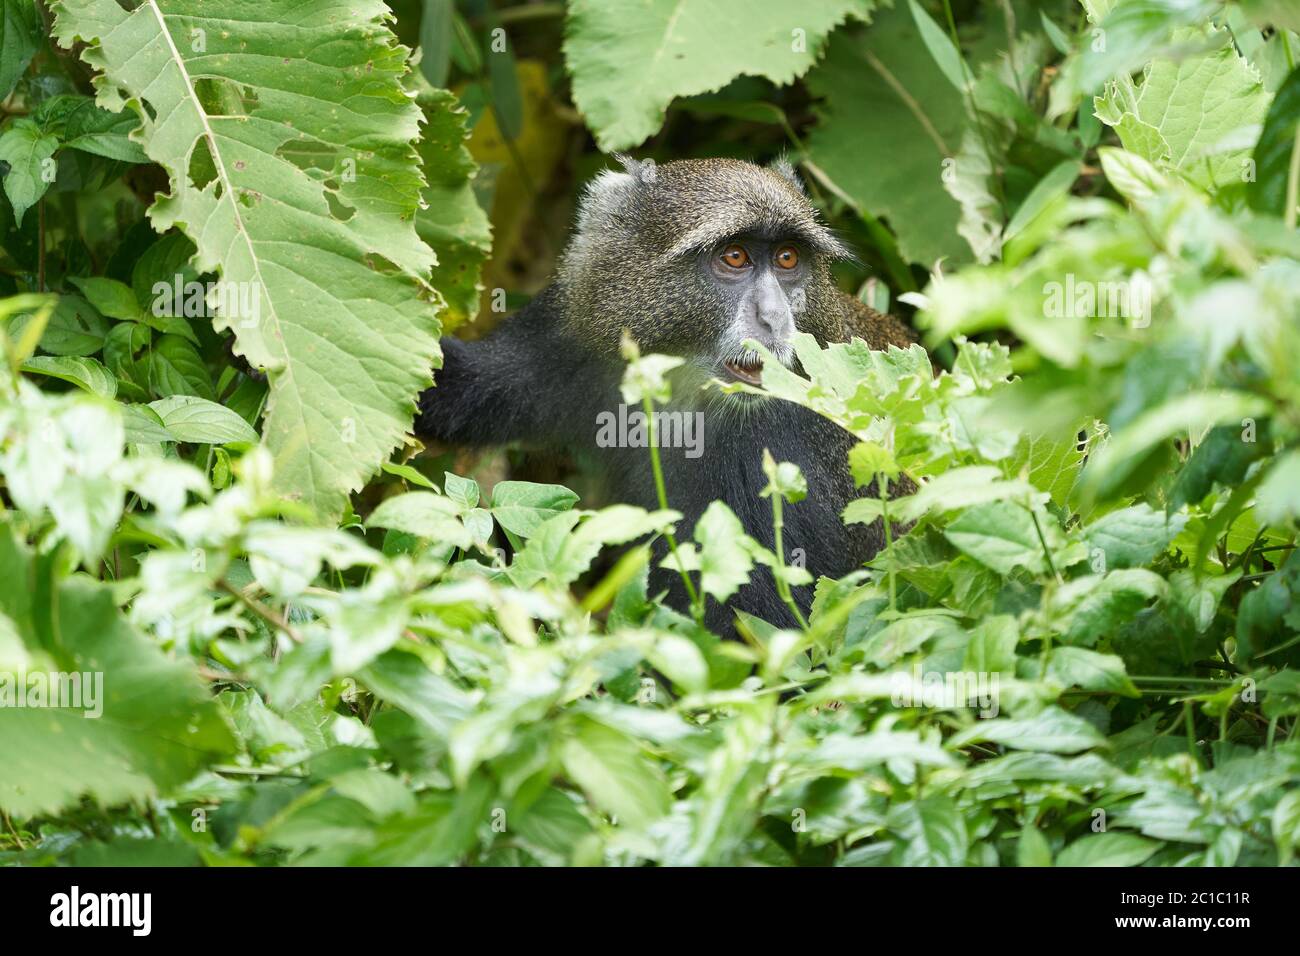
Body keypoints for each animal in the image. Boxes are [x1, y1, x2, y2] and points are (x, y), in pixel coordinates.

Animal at [416, 157, 919, 634]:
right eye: (734, 257)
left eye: (788, 259)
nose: (775, 318)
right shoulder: (568, 335)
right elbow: (462, 386)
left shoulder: (772, 446)